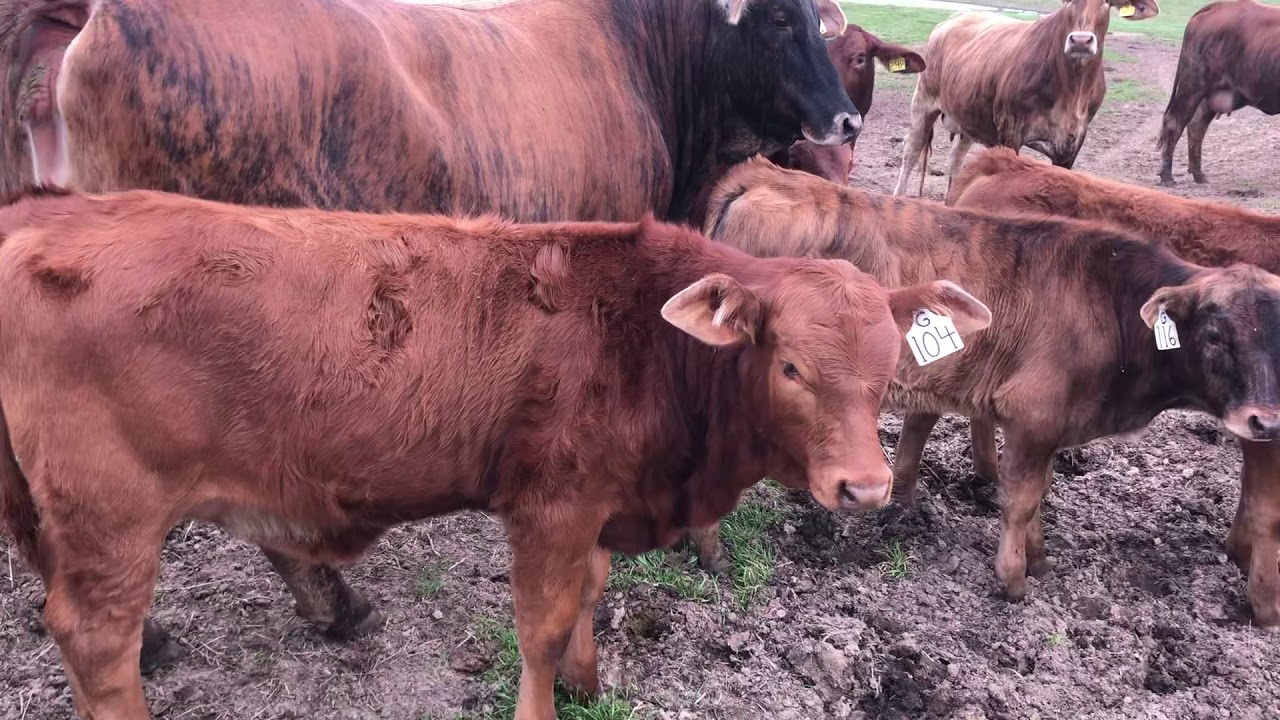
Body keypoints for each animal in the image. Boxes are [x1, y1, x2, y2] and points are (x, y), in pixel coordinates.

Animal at [0, 186, 991, 720]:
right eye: (791, 366)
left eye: (888, 370)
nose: (864, 487)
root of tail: (47, 215)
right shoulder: (551, 503)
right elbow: (542, 626)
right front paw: (550, 694)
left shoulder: (597, 500)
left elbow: (590, 595)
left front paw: (590, 682)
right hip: (113, 512)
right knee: (97, 638)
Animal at [890, 0, 1161, 197]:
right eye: (1069, 0)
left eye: (1107, 2)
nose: (1081, 41)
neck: (1072, 88)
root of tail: (951, 20)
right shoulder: (1011, 130)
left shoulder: (1072, 141)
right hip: (923, 101)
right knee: (911, 152)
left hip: (968, 116)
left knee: (955, 160)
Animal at [1157, 0, 1280, 186]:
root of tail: (1219, 6)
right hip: (1192, 86)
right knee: (1174, 123)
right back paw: (1167, 176)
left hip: (1208, 96)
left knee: (1196, 126)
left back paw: (1198, 174)